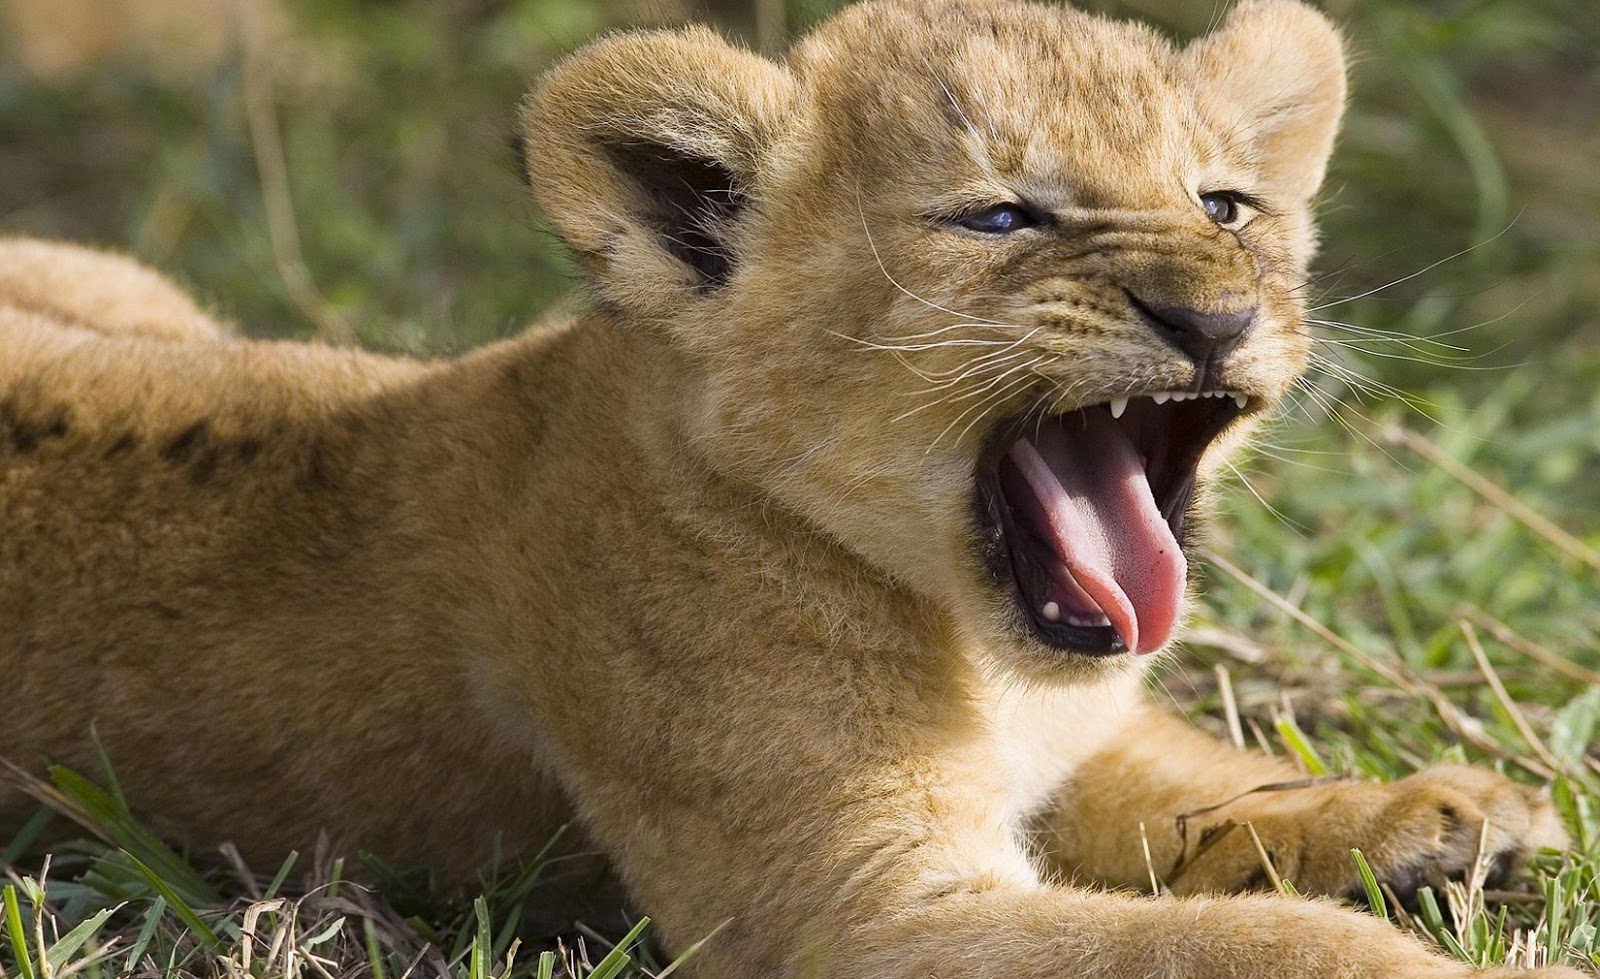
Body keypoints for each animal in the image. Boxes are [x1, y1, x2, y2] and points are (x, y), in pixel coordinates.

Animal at [0, 1, 1581, 976]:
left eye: (1224, 206)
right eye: (1001, 217)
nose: (1214, 315)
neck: (972, 646)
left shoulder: (1074, 743)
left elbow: (1213, 781)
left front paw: (1439, 813)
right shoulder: (849, 914)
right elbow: (1245, 943)